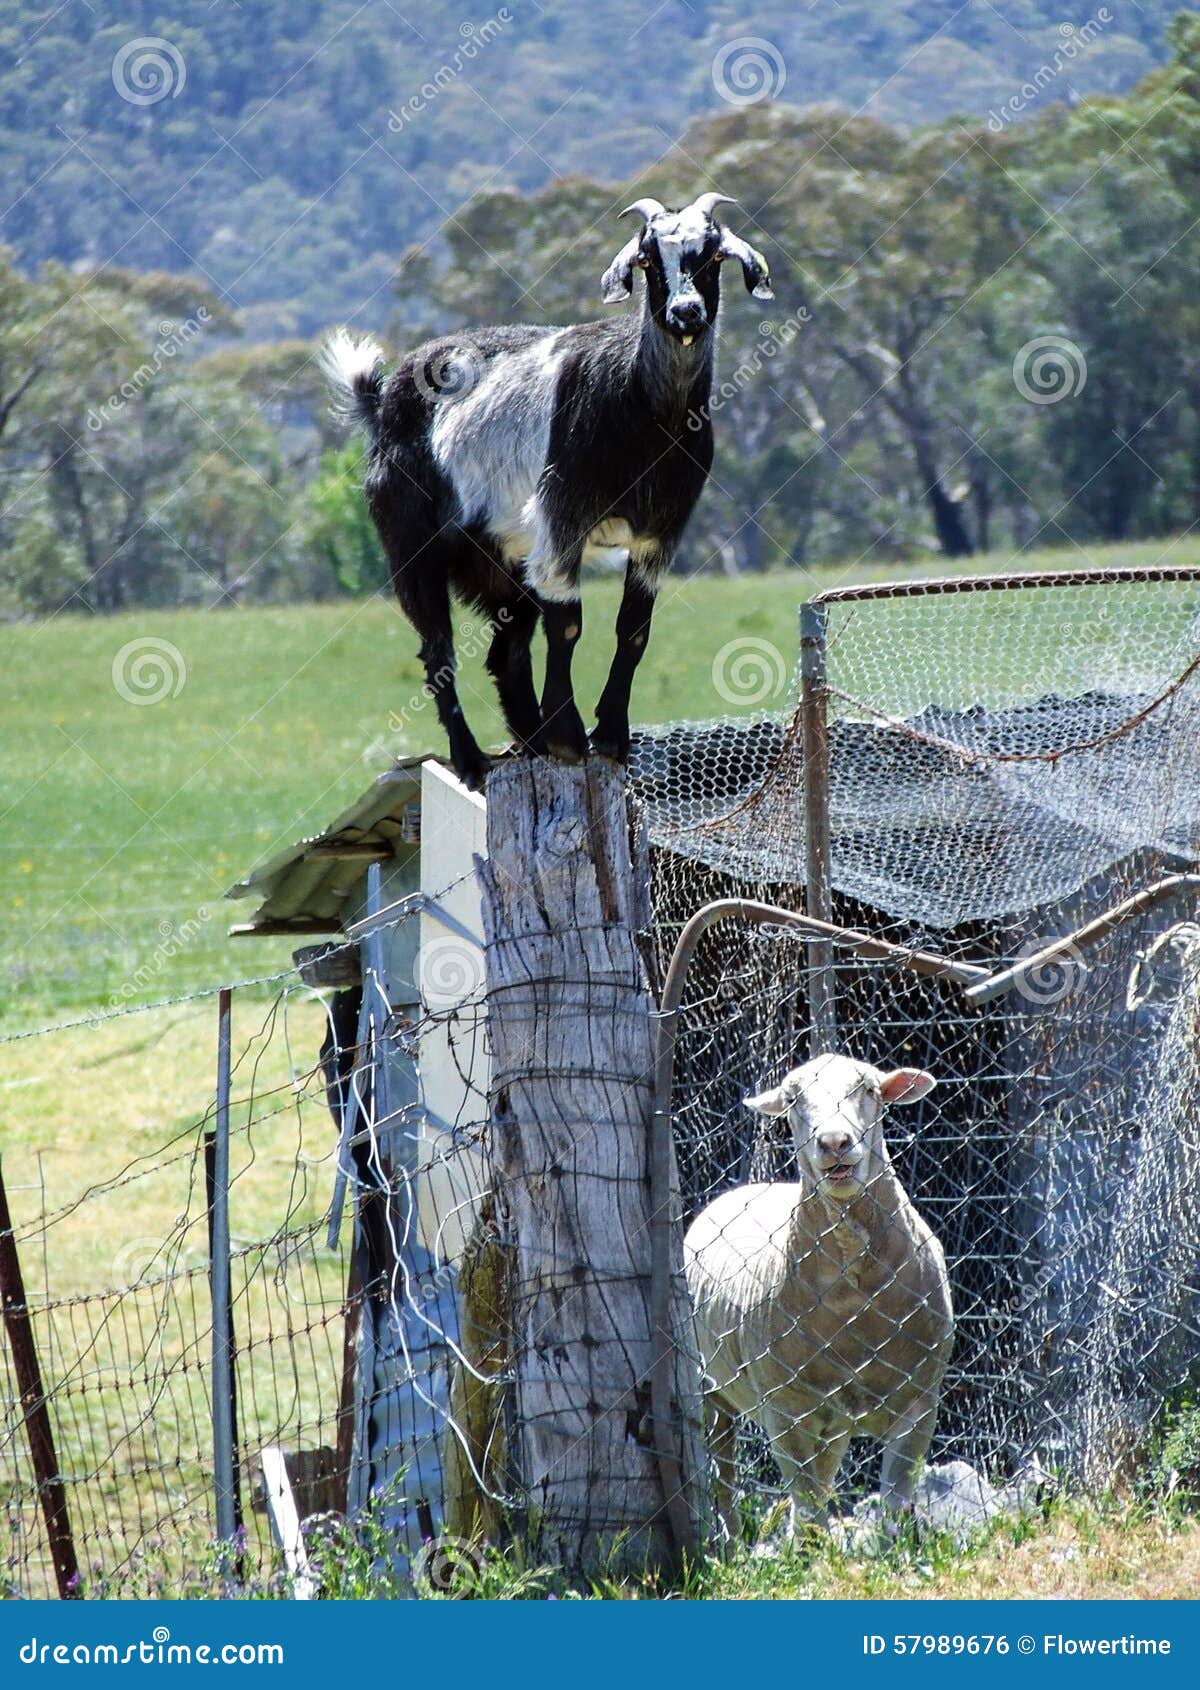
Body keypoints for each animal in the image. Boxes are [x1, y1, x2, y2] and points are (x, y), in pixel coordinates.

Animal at [321, 192, 773, 788]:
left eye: (714, 254)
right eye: (648, 259)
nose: (685, 313)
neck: (641, 407)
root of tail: (380, 401)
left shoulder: (660, 533)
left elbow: (634, 629)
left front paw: (610, 736)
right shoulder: (563, 519)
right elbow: (569, 625)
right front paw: (569, 739)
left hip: (505, 560)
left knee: (505, 654)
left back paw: (529, 741)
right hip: (412, 549)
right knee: (438, 655)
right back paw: (472, 760)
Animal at [684, 1053, 954, 1542]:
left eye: (868, 1089)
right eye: (792, 1099)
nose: (834, 1142)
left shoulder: (919, 1401)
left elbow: (895, 1504)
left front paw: (892, 1548)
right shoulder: (784, 1412)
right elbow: (808, 1506)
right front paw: (810, 1554)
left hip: (833, 1424)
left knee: (821, 1477)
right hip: (712, 1389)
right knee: (726, 1475)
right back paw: (732, 1545)